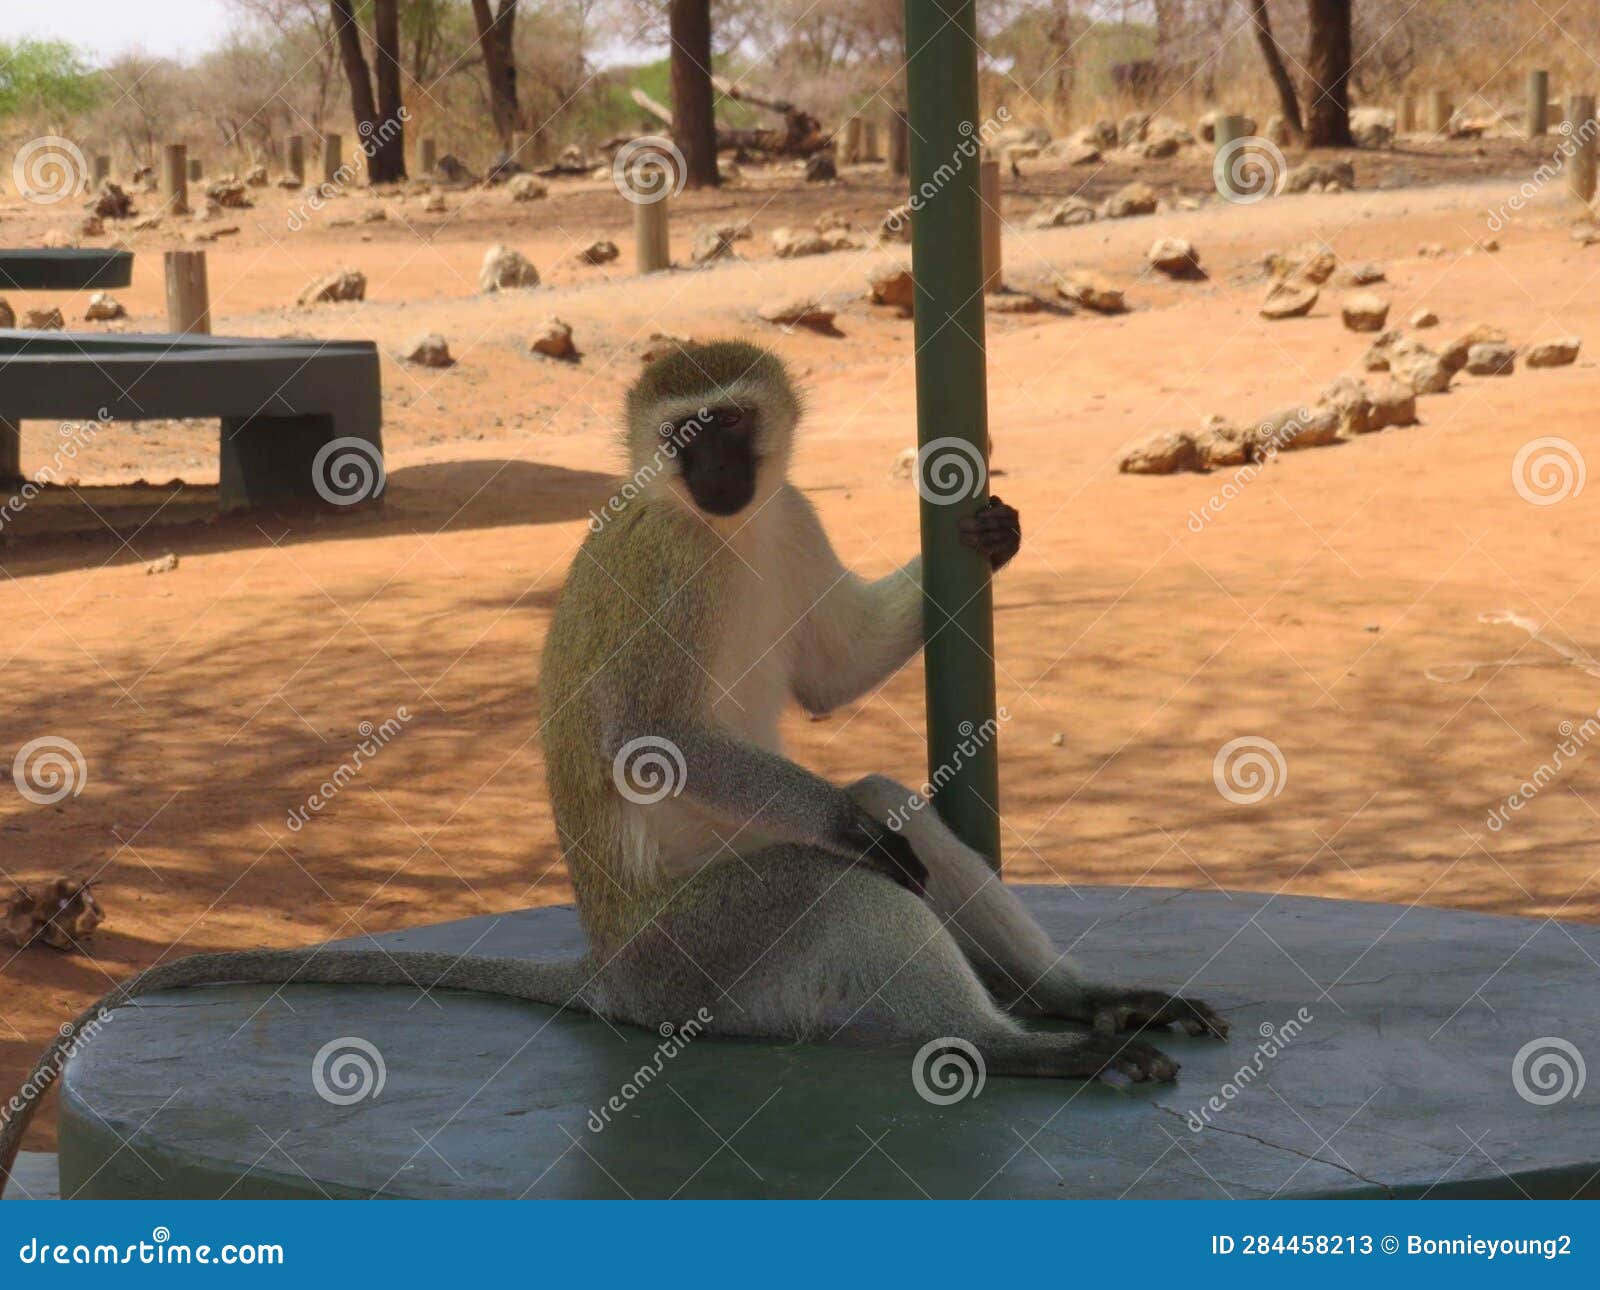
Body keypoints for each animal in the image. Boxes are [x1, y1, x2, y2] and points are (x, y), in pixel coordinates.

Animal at [0, 341, 1225, 1193]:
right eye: (684, 436)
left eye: (733, 424)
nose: (718, 469)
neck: (722, 528)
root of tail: (607, 966)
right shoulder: (667, 566)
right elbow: (649, 736)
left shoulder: (789, 515)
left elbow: (832, 675)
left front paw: (988, 537)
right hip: (696, 955)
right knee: (837, 872)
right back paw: (1020, 1048)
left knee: (892, 818)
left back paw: (1081, 1002)